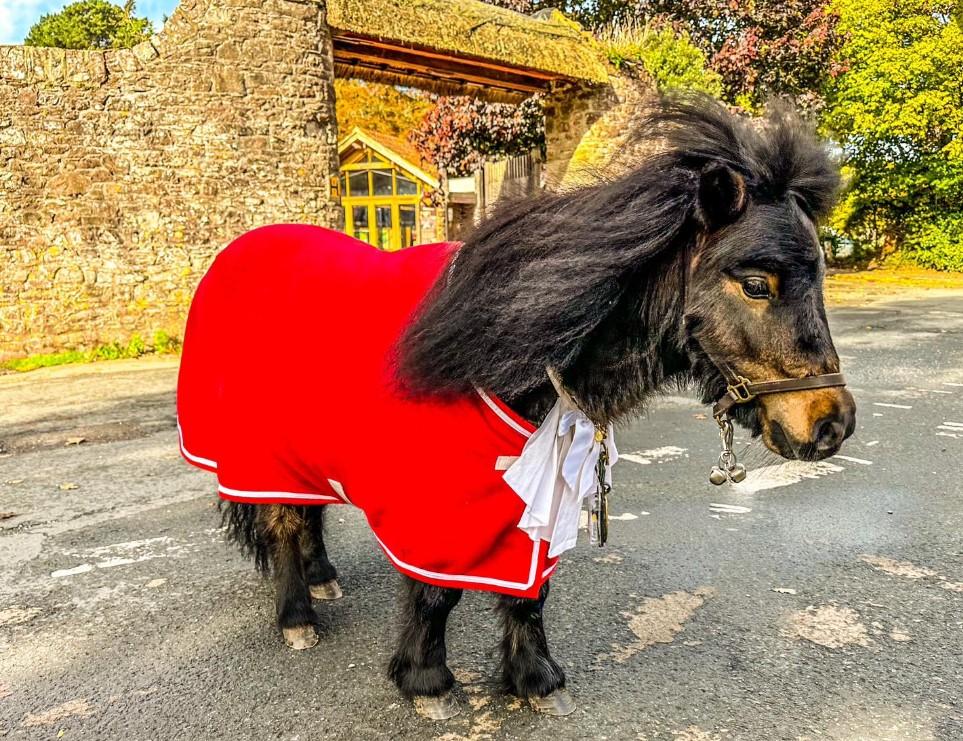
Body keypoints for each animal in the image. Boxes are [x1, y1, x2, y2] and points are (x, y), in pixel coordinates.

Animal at [176, 94, 856, 720]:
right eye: (757, 283)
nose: (833, 424)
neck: (503, 353)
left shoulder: (532, 498)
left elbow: (531, 591)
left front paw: (534, 678)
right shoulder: (436, 508)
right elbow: (435, 594)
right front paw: (427, 683)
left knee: (308, 513)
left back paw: (322, 580)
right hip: (260, 457)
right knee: (283, 524)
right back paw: (297, 615)